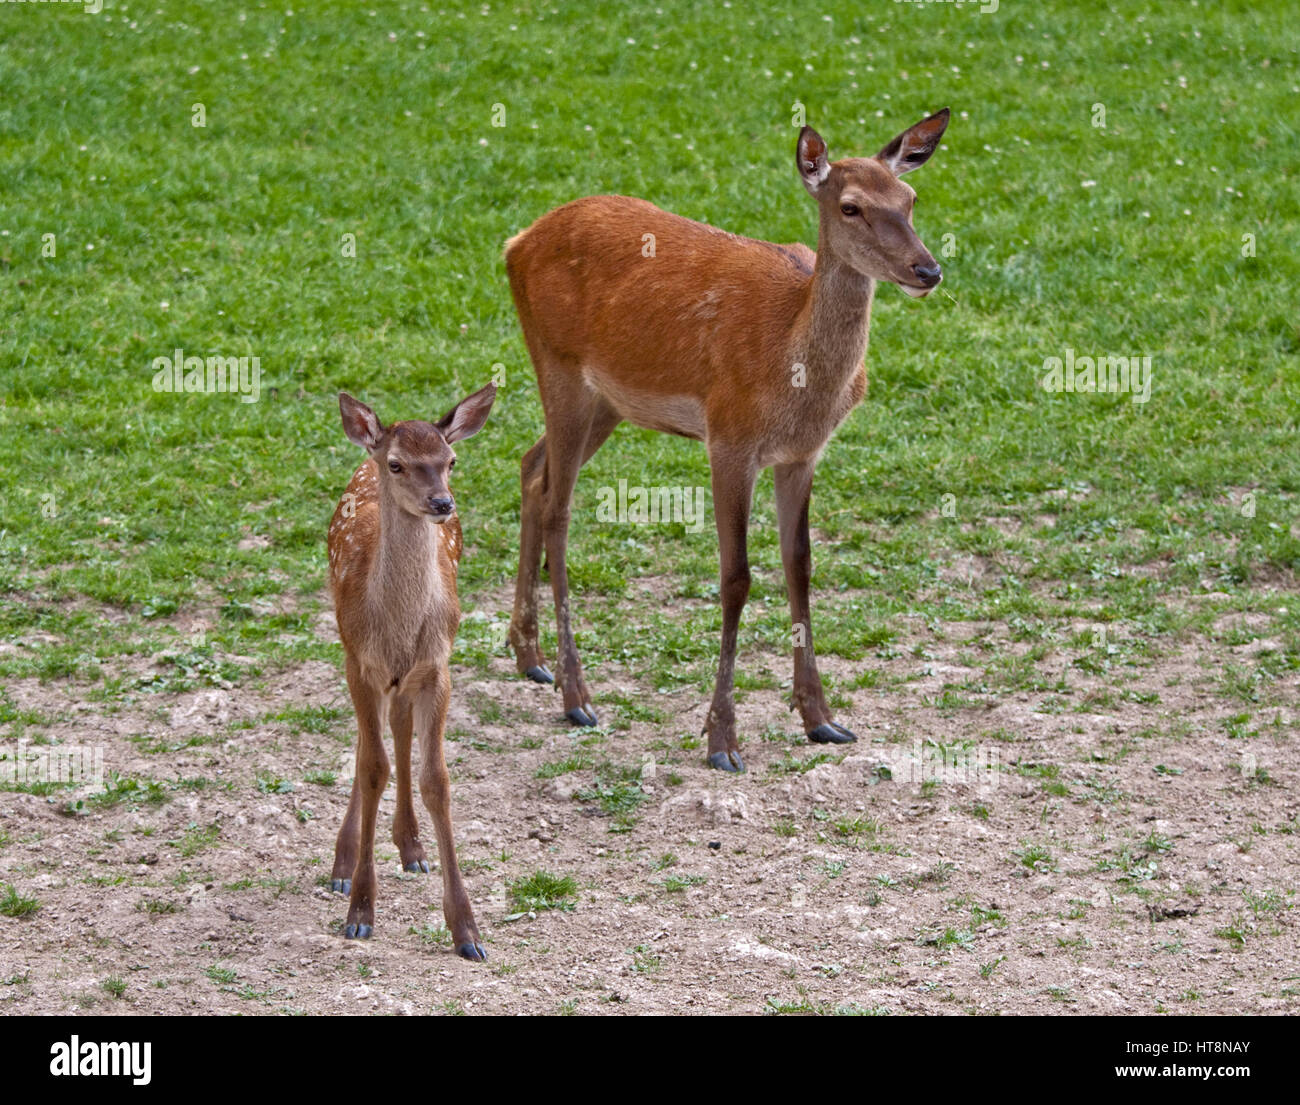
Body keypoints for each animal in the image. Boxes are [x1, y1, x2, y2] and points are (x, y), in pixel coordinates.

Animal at [326, 384, 496, 959]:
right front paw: (360, 911)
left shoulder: (438, 667)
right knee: (369, 742)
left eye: (450, 460)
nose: (442, 503)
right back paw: (342, 863)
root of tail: (363, 455)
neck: (397, 628)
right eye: (398, 464)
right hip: (351, 652)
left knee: (398, 726)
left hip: (409, 679)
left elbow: (436, 780)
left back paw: (411, 845)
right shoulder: (360, 661)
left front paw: (467, 930)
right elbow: (371, 766)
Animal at [504, 110, 950, 772]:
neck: (794, 370)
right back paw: (577, 695)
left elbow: (801, 563)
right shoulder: (729, 438)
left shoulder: (802, 453)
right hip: (557, 365)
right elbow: (736, 577)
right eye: (851, 207)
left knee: (533, 468)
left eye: (911, 198)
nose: (928, 270)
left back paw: (529, 659)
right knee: (559, 507)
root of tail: (515, 242)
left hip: (607, 400)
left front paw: (822, 718)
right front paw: (722, 740)